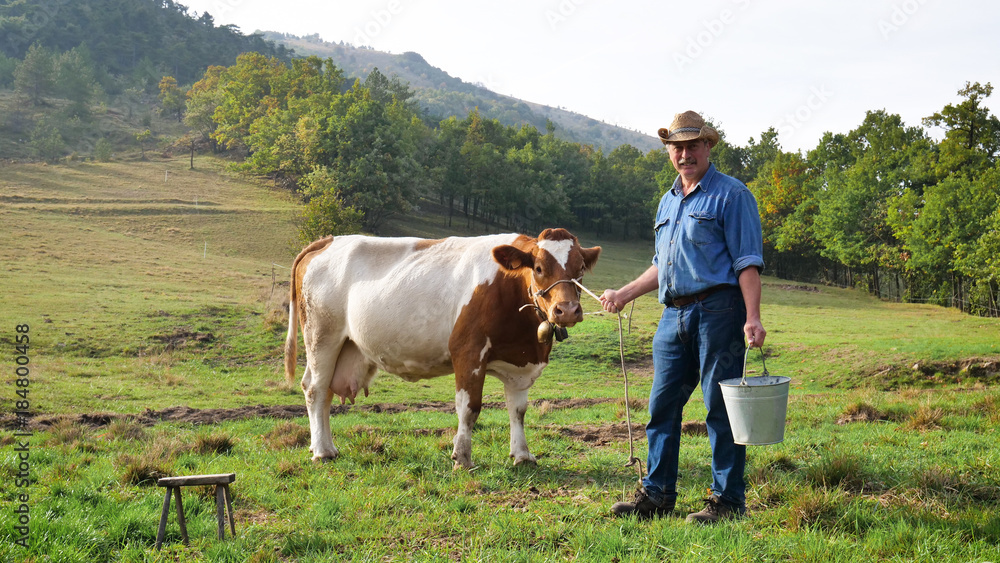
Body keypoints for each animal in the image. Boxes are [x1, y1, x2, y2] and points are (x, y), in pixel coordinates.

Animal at [284, 228, 601, 469]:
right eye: (538, 268)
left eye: (580, 269)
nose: (567, 310)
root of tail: (330, 240)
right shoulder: (468, 353)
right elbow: (469, 408)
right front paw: (462, 457)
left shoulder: (519, 363)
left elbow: (518, 410)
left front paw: (522, 455)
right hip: (321, 336)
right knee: (315, 389)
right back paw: (322, 451)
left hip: (343, 345)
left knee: (324, 392)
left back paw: (326, 446)